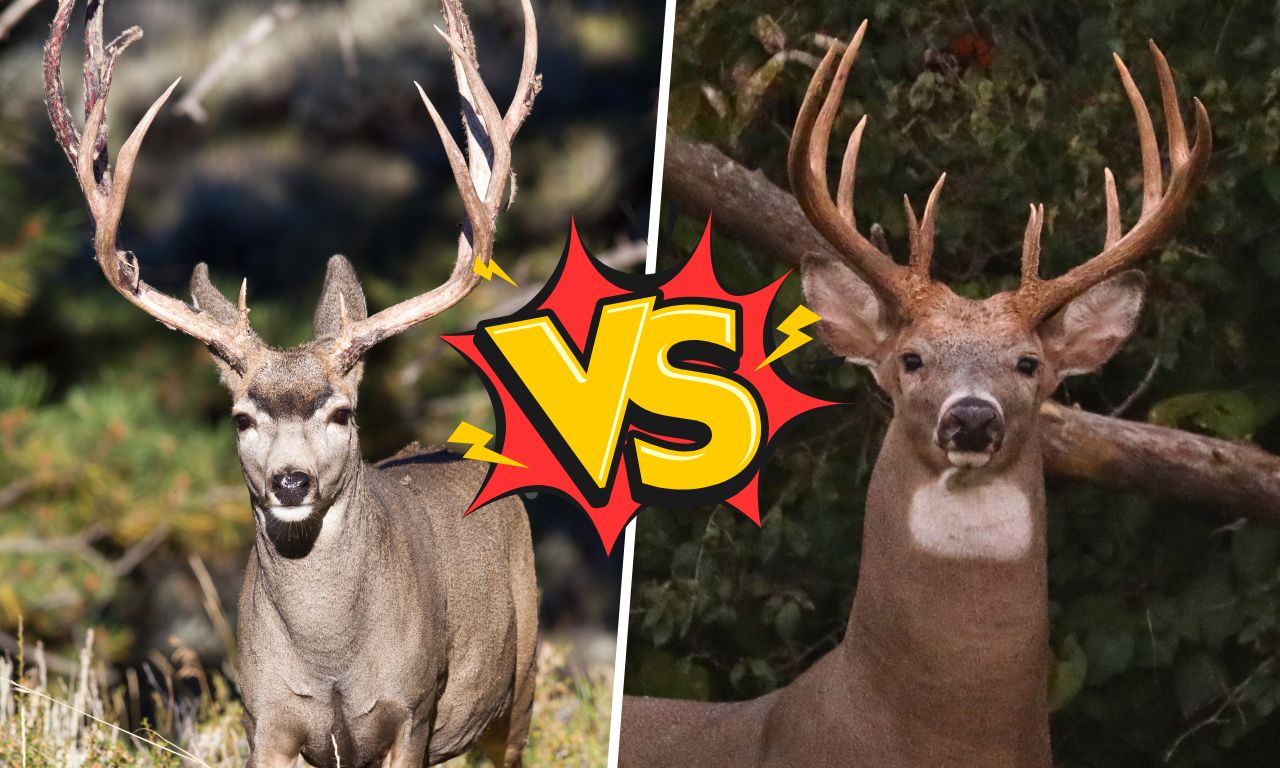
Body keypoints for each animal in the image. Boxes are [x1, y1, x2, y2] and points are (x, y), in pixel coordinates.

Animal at [42, 0, 541, 765]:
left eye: (341, 413)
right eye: (242, 418)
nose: (291, 481)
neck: (332, 660)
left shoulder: (414, 710)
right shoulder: (267, 716)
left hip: (518, 681)